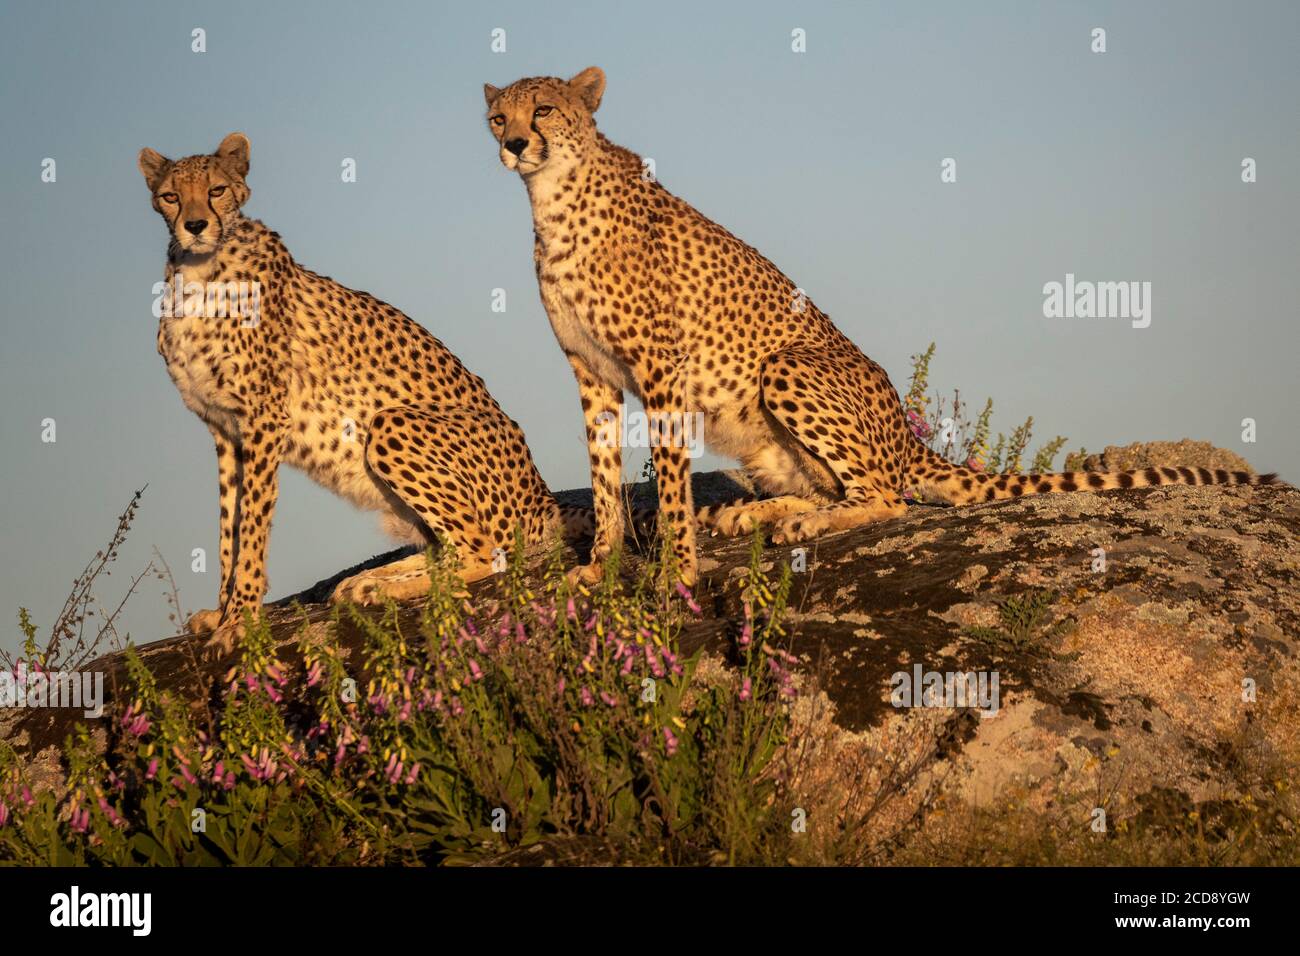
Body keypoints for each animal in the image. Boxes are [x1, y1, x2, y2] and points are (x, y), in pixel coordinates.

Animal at [483, 66, 1277, 587]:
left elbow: (670, 483)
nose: (514, 145)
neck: (553, 197)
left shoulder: (659, 369)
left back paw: (796, 523)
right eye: (500, 117)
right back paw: (759, 515)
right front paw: (600, 567)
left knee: (887, 497)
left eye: (545, 109)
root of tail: (906, 434)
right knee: (840, 488)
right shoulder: (593, 375)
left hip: (788, 365)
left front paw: (673, 574)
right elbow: (605, 478)